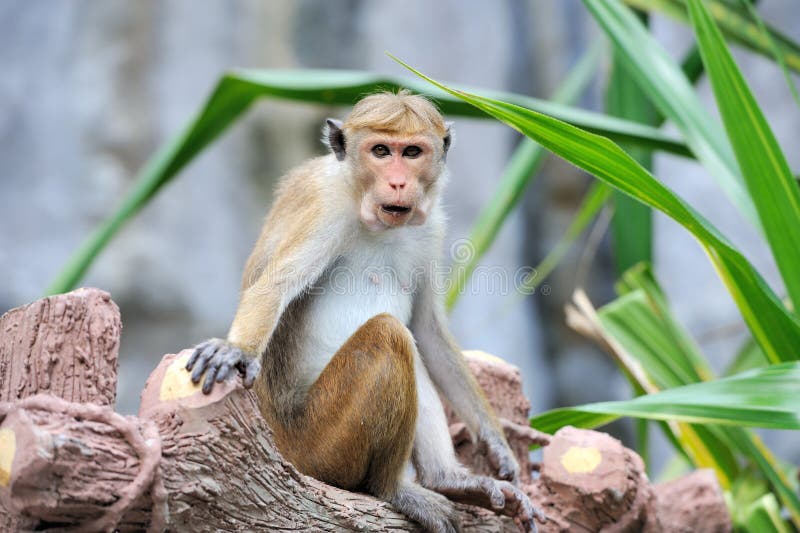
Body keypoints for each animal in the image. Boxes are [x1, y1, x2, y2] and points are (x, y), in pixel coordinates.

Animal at [185, 90, 544, 533]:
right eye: (380, 151)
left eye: (411, 152)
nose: (398, 181)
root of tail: (283, 445)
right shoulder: (325, 210)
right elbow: (276, 286)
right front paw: (235, 350)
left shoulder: (430, 226)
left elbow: (428, 329)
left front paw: (496, 443)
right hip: (320, 444)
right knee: (390, 336)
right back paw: (393, 488)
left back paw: (448, 479)